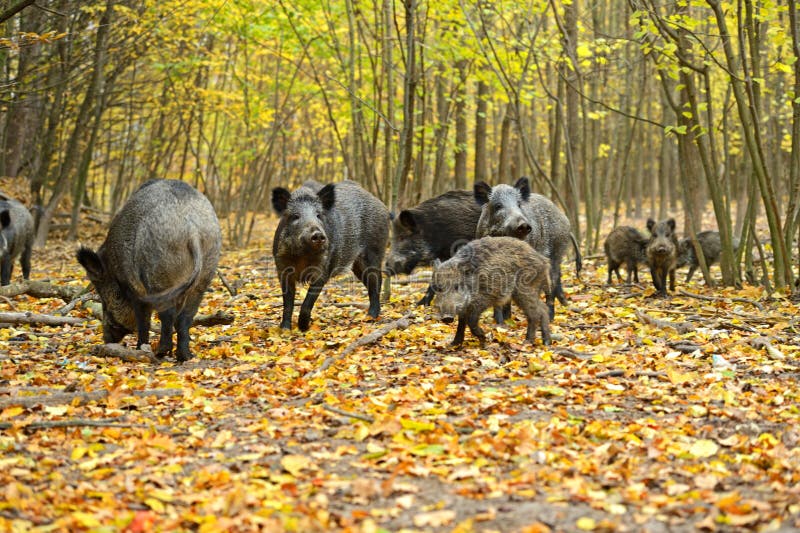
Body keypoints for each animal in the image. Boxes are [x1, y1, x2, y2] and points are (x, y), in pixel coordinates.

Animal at [76, 179, 222, 362]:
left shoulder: (133, 289)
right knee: (185, 317)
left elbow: (143, 320)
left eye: (101, 292)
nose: (106, 339)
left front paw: (140, 348)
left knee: (166, 314)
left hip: (159, 275)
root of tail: (192, 229)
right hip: (205, 274)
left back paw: (160, 352)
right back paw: (185, 356)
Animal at [272, 179, 390, 331]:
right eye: (295, 216)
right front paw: (285, 329)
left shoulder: (323, 271)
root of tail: (383, 206)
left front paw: (304, 328)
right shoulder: (282, 270)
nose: (318, 234)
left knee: (376, 280)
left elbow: (308, 302)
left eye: (318, 215)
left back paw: (371, 316)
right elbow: (287, 302)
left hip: (374, 250)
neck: (303, 256)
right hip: (356, 265)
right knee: (370, 283)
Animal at [474, 177, 581, 318]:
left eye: (519, 204)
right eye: (498, 206)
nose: (523, 225)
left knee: (551, 285)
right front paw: (504, 320)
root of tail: (566, 222)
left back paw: (550, 317)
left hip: (557, 252)